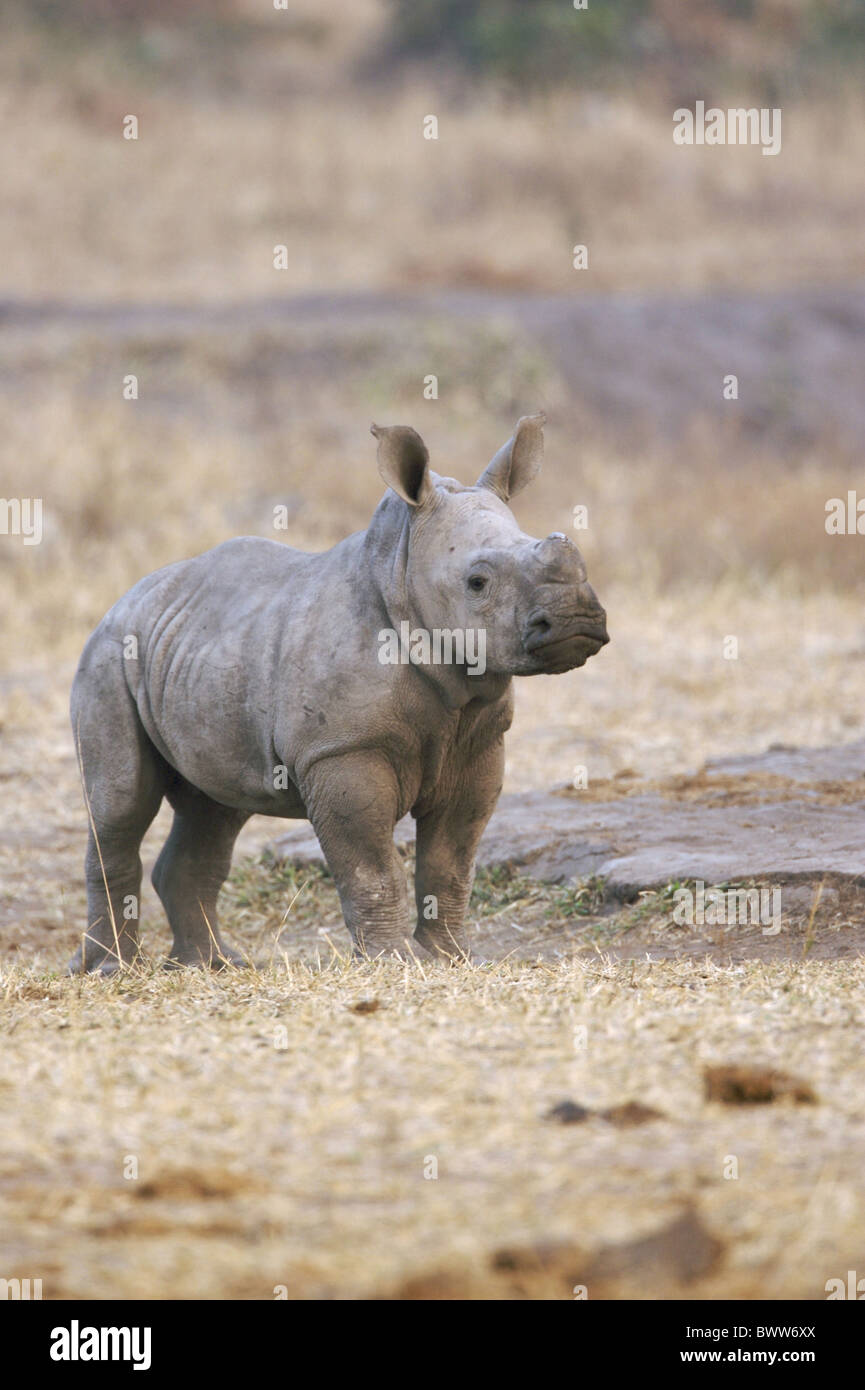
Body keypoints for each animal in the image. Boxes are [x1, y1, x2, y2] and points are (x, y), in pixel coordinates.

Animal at [68, 413, 608, 973]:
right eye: (477, 582)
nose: (576, 618)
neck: (402, 573)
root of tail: (124, 598)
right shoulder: (343, 750)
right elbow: (371, 864)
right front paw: (394, 962)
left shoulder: (480, 741)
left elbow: (451, 861)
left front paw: (453, 960)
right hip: (109, 655)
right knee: (121, 805)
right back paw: (111, 969)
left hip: (195, 653)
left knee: (215, 808)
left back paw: (215, 965)